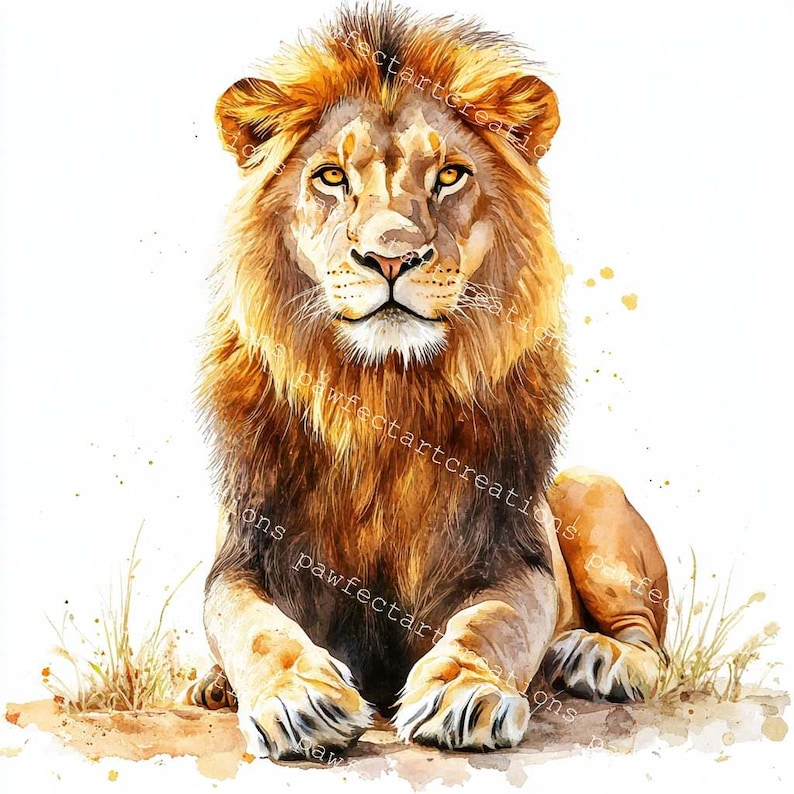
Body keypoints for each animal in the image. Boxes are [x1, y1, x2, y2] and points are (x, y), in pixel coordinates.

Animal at [188, 3, 669, 759]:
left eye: (449, 176)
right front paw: (298, 697)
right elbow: (252, 626)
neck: (383, 398)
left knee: (651, 645)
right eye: (331, 177)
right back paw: (211, 683)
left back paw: (598, 658)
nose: (391, 257)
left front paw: (464, 691)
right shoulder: (244, 553)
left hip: (589, 491)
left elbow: (494, 619)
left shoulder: (512, 554)